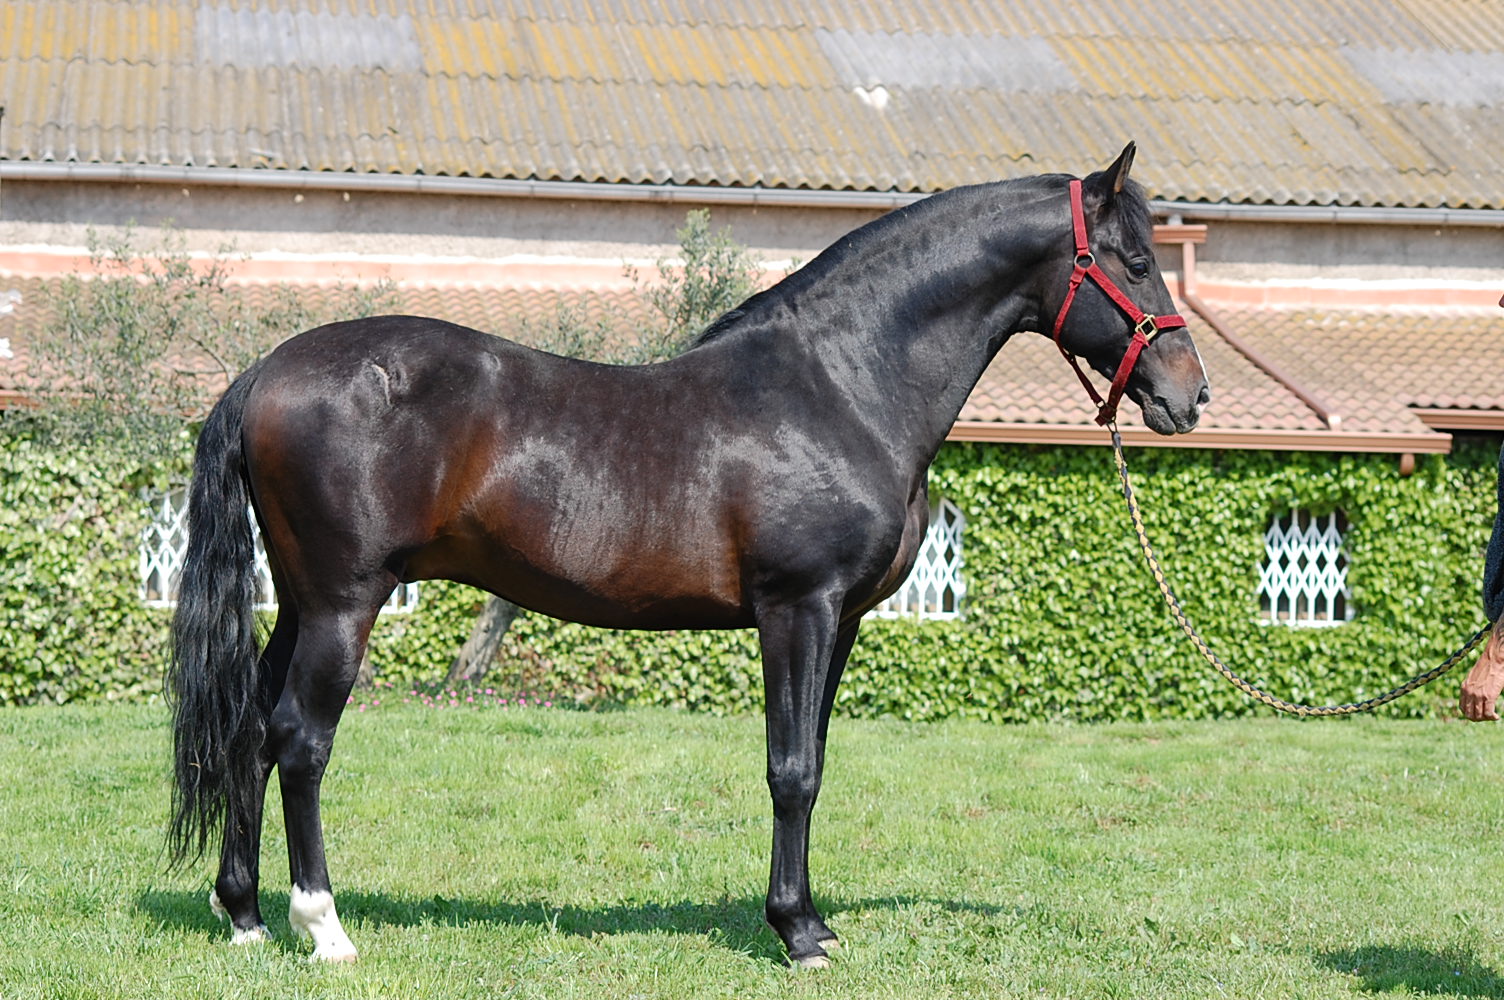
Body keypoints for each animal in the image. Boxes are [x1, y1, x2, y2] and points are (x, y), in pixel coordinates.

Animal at [167, 144, 1210, 968]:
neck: (841, 385)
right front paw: (796, 933)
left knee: (251, 728)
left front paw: (811, 921)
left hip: (301, 602)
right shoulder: (798, 607)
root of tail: (266, 370)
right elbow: (791, 768)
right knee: (301, 741)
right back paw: (323, 927)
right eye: (1134, 261)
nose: (1187, 394)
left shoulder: (841, 621)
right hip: (346, 603)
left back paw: (245, 915)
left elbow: (815, 760)